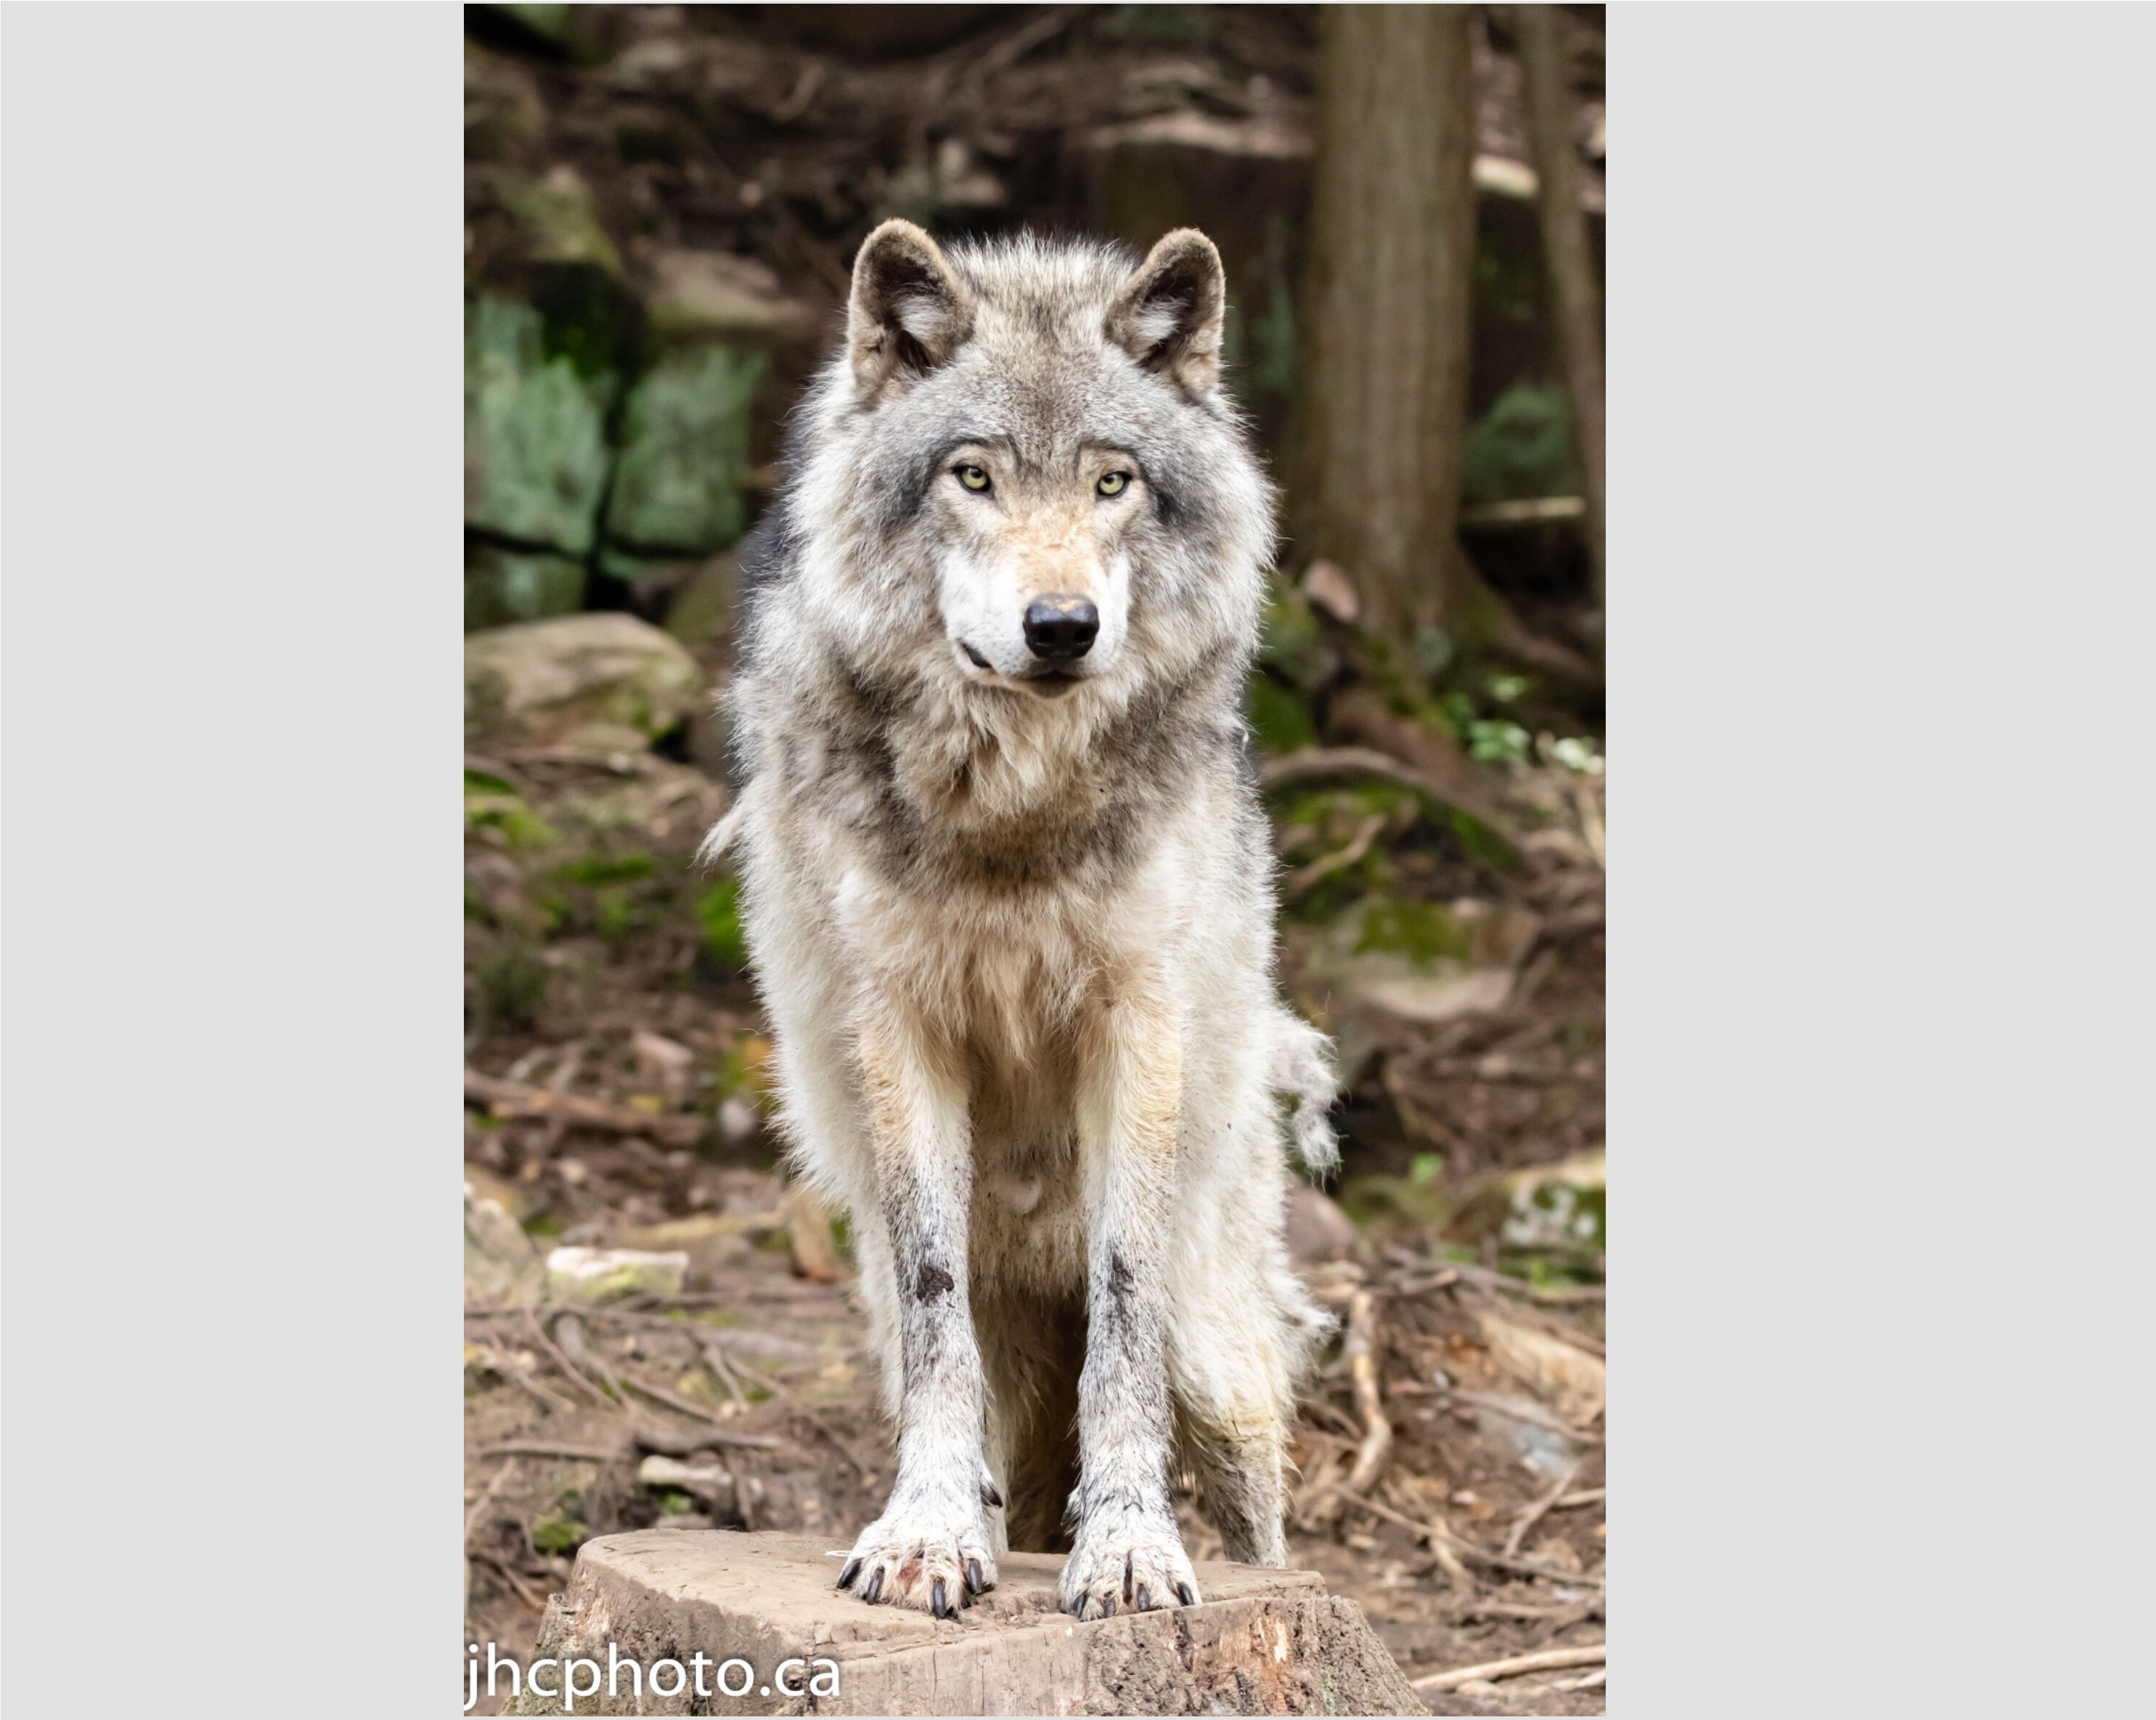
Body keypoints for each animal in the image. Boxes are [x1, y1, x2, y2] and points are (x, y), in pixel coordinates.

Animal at [709, 219, 1339, 1622]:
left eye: (1112, 482)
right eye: (974, 476)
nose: (1061, 629)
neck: (1012, 811)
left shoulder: (1135, 1030)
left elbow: (1124, 1311)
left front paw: (1132, 1548)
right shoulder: (900, 1033)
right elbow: (938, 1309)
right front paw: (927, 1536)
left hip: (1221, 1354)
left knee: (1258, 1498)